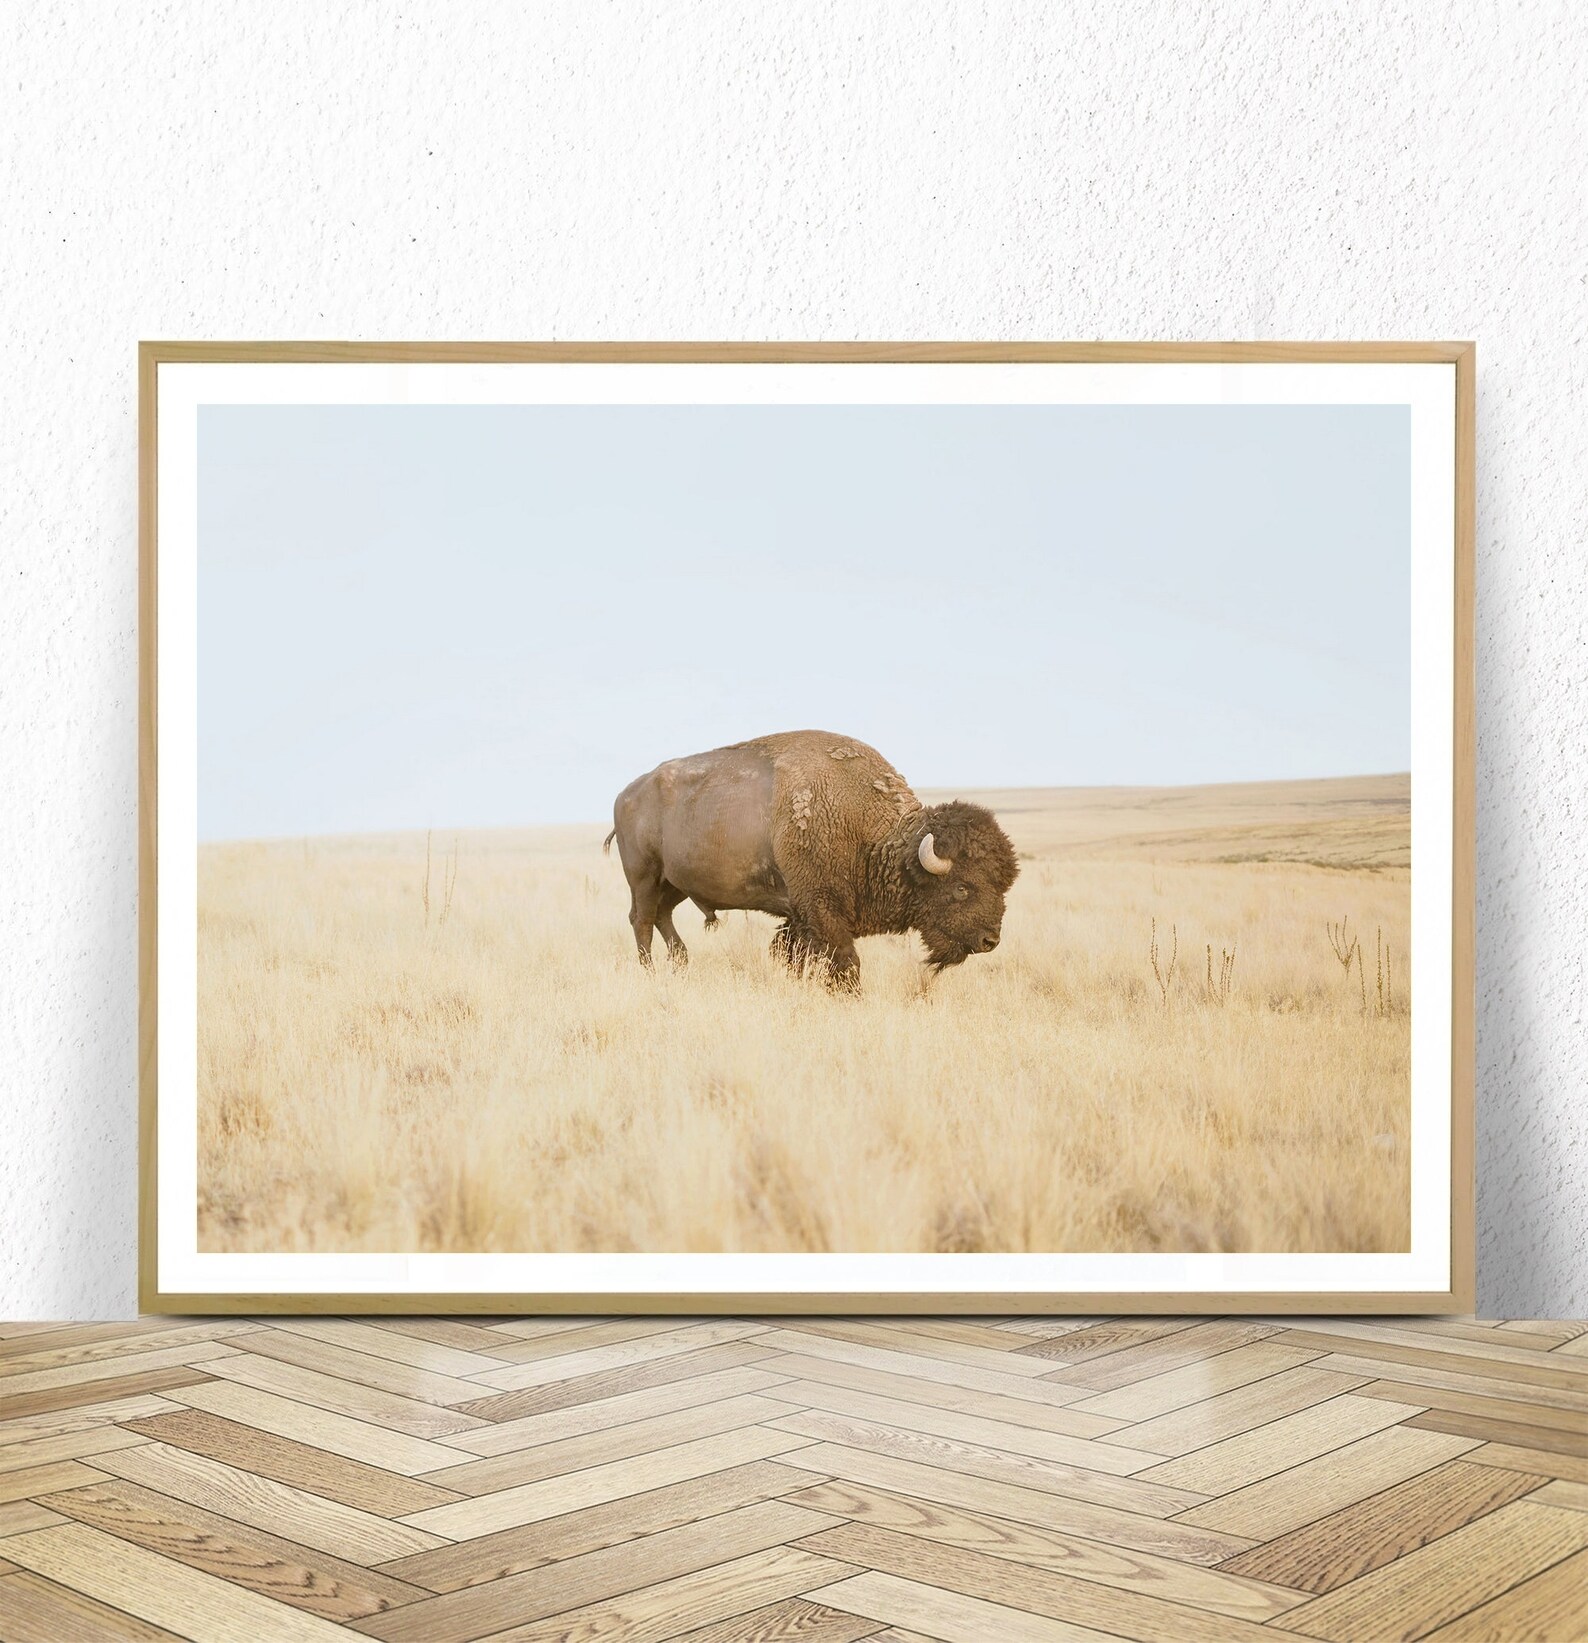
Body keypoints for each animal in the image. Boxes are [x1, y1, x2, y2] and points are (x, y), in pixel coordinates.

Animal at [603, 730, 1018, 988]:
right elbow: (844, 962)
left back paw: (682, 963)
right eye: (962, 887)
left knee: (662, 916)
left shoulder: (800, 917)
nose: (990, 940)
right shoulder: (821, 909)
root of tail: (625, 794)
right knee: (642, 920)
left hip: (675, 884)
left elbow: (794, 954)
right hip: (644, 877)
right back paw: (650, 971)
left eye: (1003, 885)